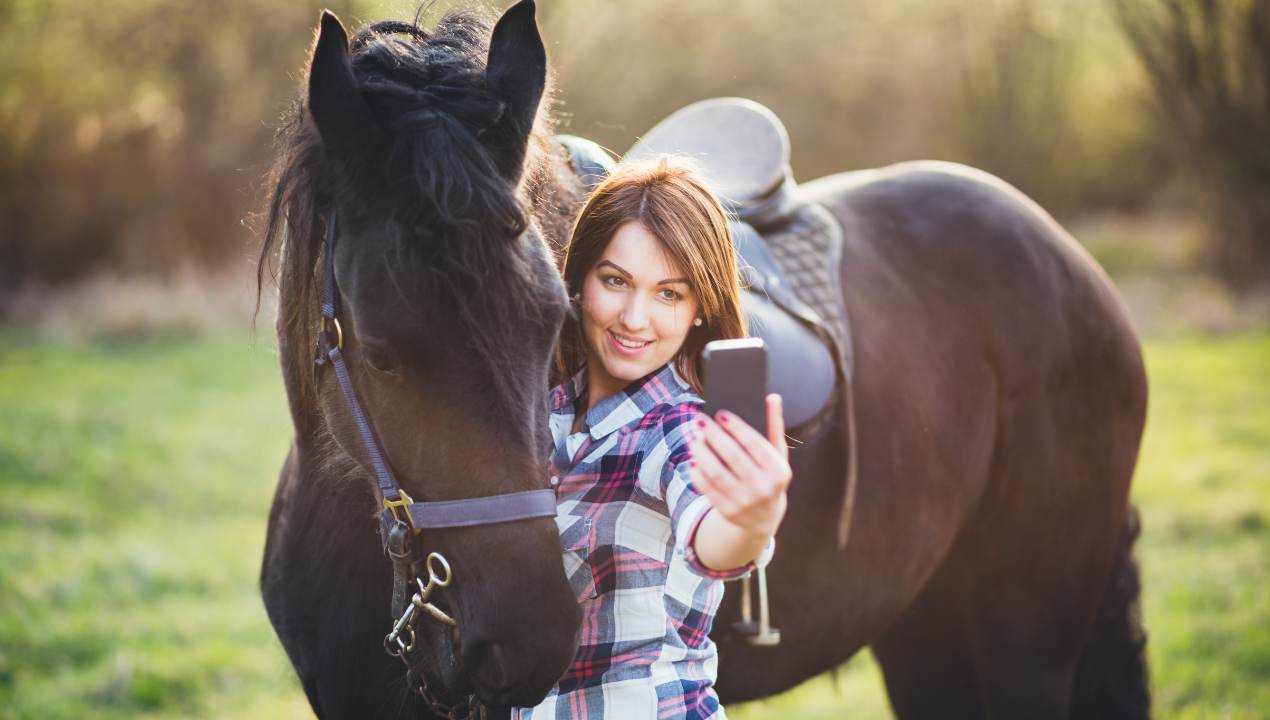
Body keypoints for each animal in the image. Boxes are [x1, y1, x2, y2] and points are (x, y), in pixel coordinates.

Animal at [259, 3, 1151, 719]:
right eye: (379, 353)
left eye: (553, 325)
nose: (529, 639)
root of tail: (1071, 264)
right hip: (925, 630)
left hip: (1025, 642)